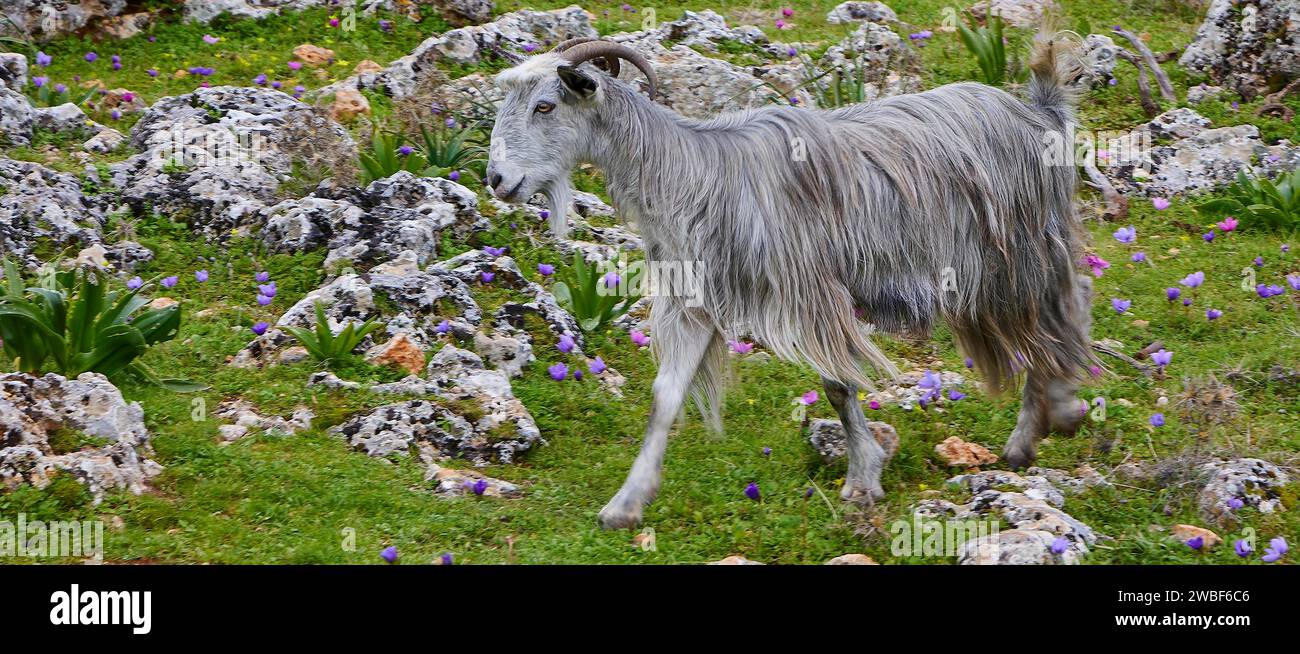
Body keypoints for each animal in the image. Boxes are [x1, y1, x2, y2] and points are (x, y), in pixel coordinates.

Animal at [486, 36, 1096, 529]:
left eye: (545, 105)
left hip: (1019, 253)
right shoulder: (694, 304)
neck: (693, 173)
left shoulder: (813, 292)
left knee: (1062, 313)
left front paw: (862, 478)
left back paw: (1045, 423)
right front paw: (626, 504)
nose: (497, 180)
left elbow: (836, 384)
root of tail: (1040, 112)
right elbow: (665, 397)